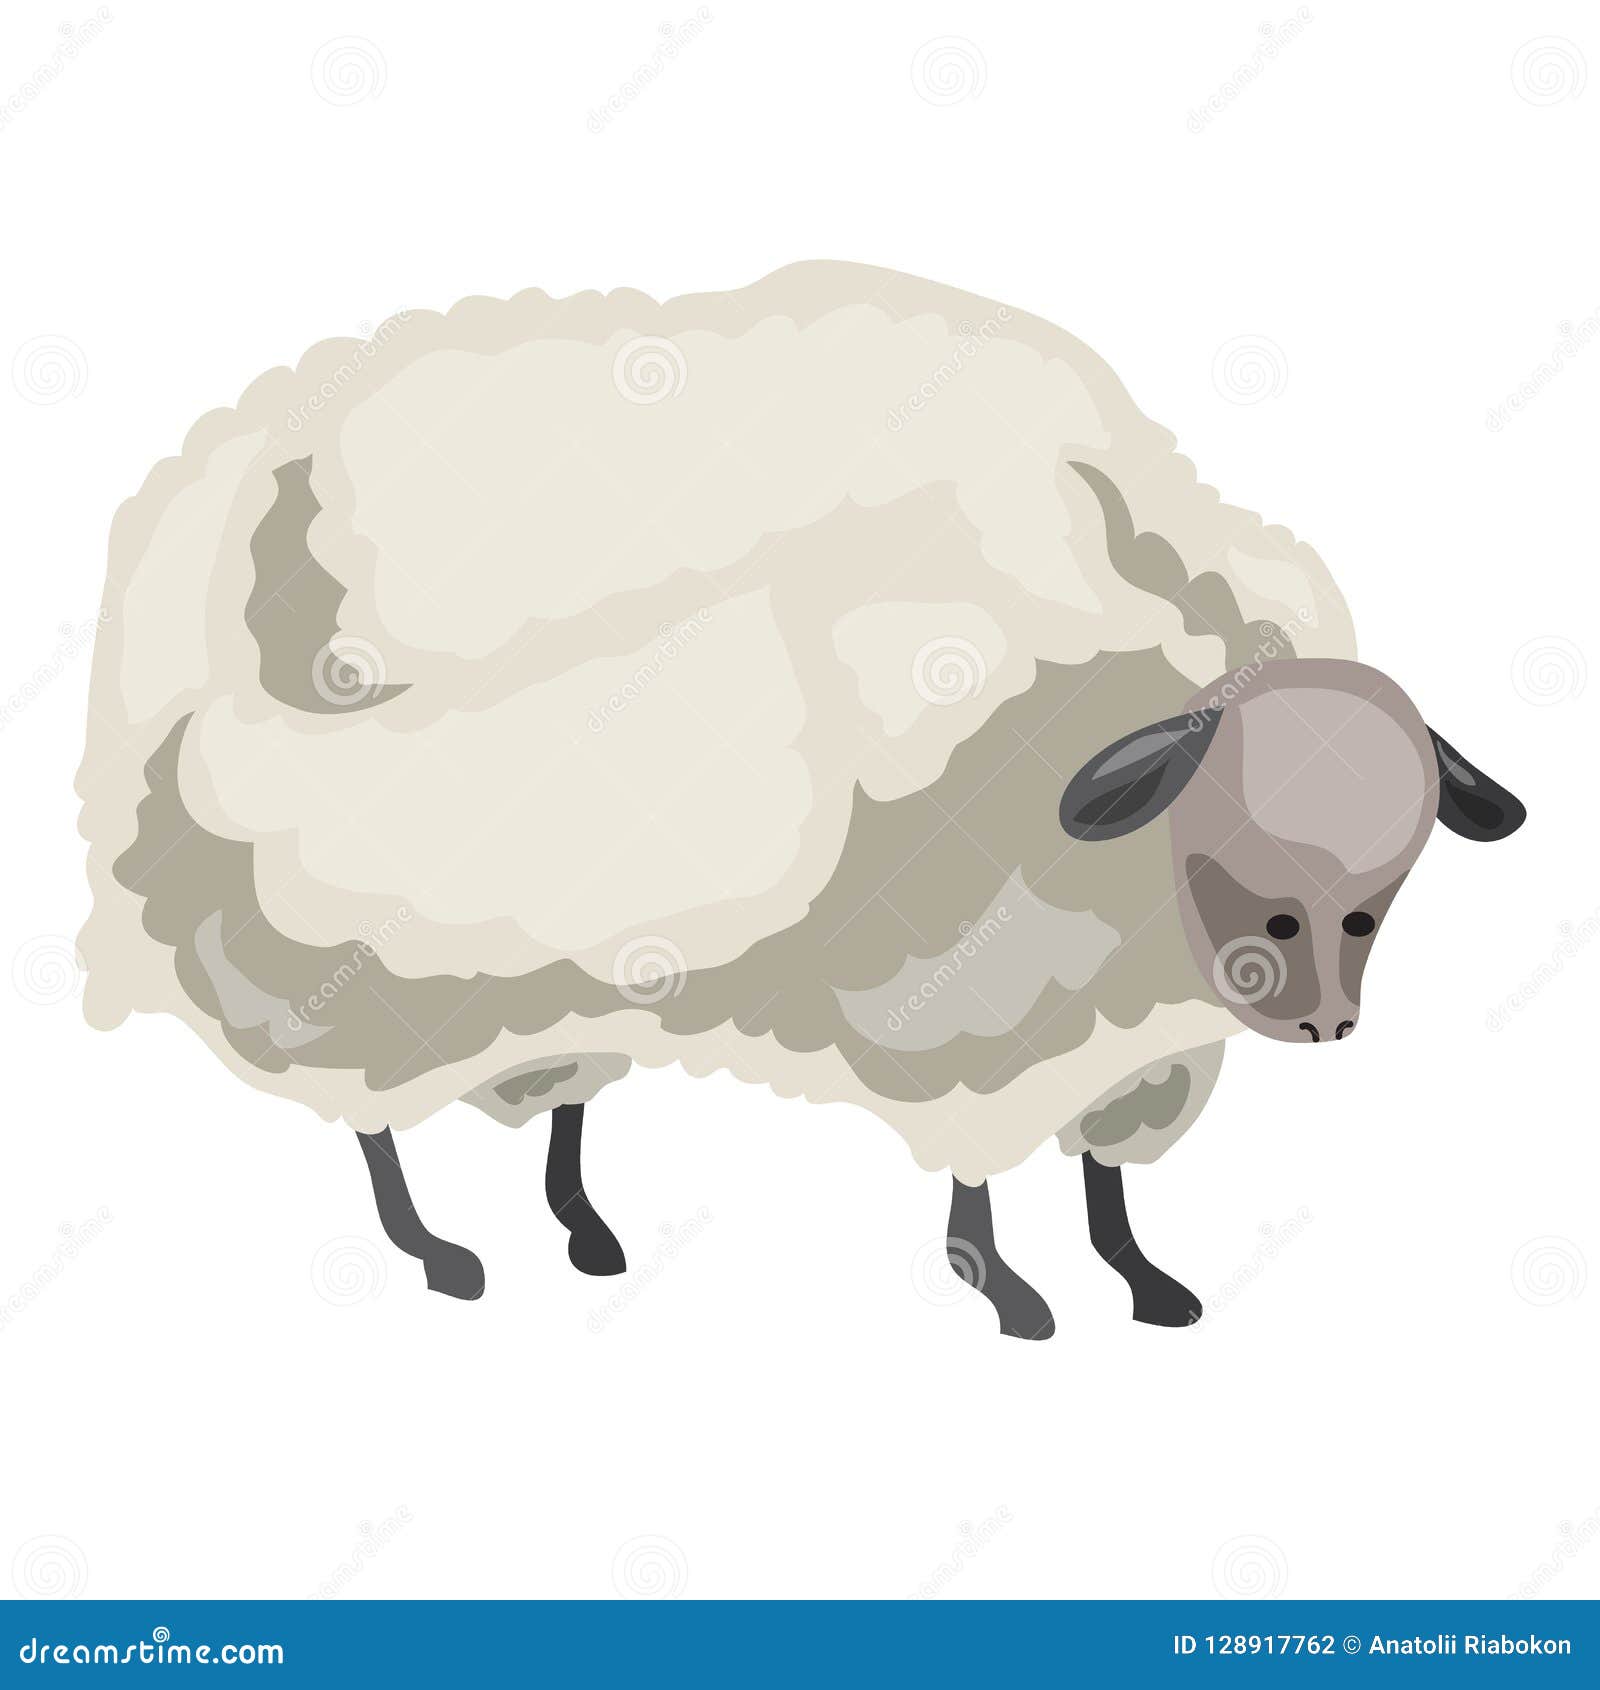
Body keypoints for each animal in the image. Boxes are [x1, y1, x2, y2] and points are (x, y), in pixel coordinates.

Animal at [75, 261, 1525, 1336]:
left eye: (1384, 895)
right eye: (1247, 867)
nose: (1324, 1023)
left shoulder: (1127, 1038)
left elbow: (1106, 1174)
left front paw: (1142, 1277)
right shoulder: (978, 1011)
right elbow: (982, 1178)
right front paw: (1005, 1287)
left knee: (555, 1092)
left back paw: (578, 1224)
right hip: (334, 949)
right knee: (372, 1120)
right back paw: (434, 1244)